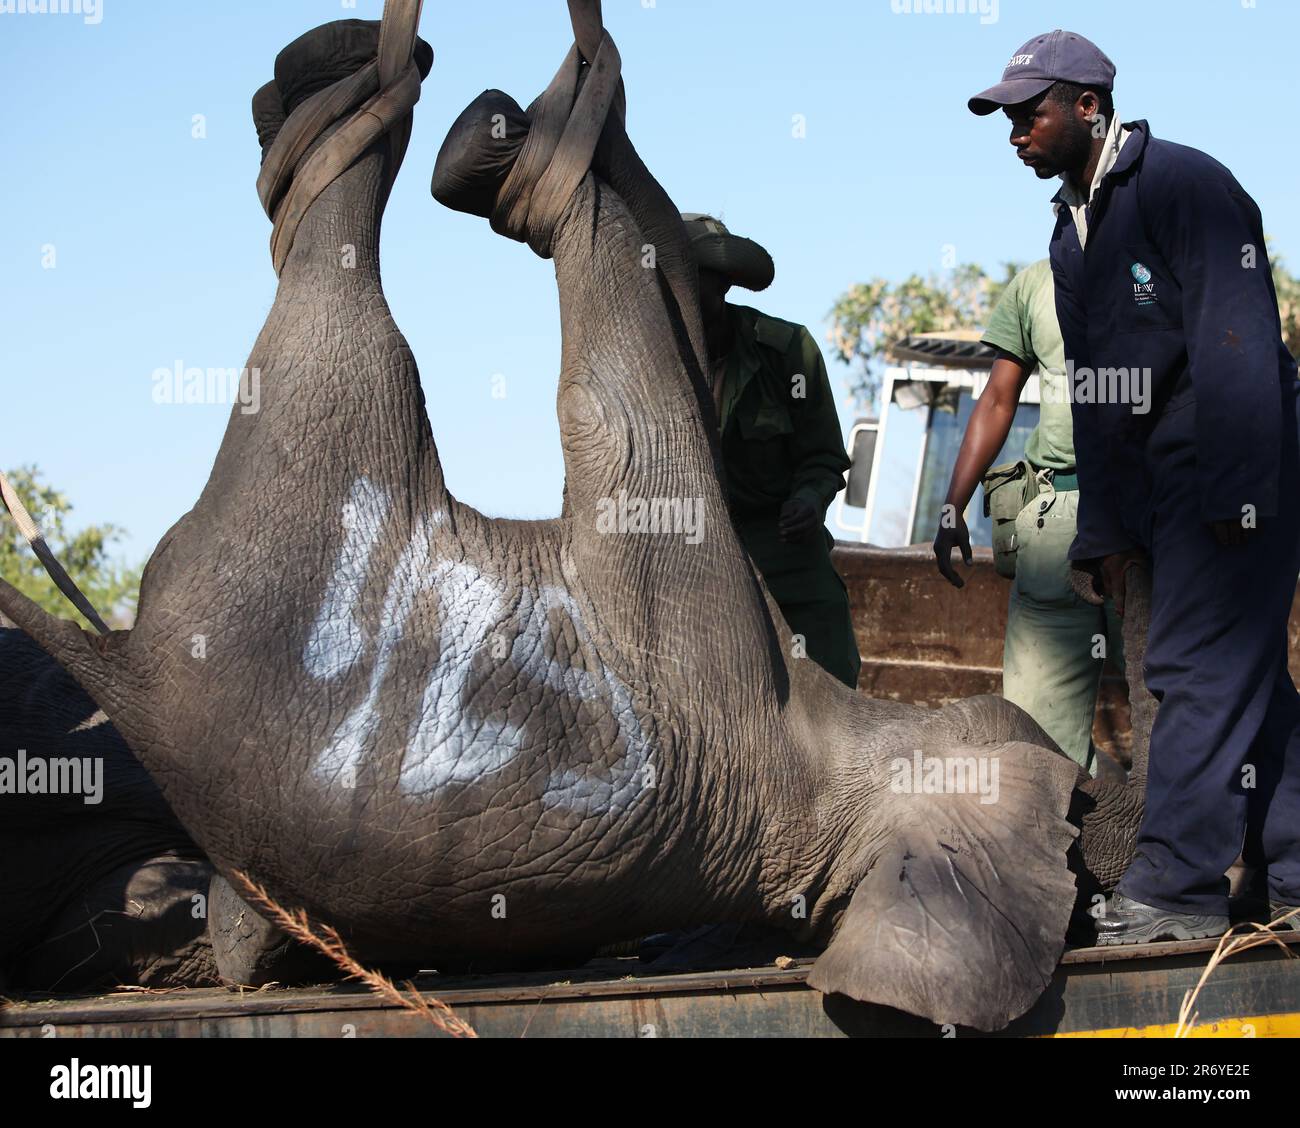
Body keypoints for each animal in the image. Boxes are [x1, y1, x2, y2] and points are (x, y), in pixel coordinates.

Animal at [0, 8, 1146, 1030]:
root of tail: (130, 675)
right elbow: (661, 305)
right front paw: (558, 141)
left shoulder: (693, 646)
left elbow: (610, 395)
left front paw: (510, 157)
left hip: (318, 434)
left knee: (332, 271)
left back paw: (353, 88)